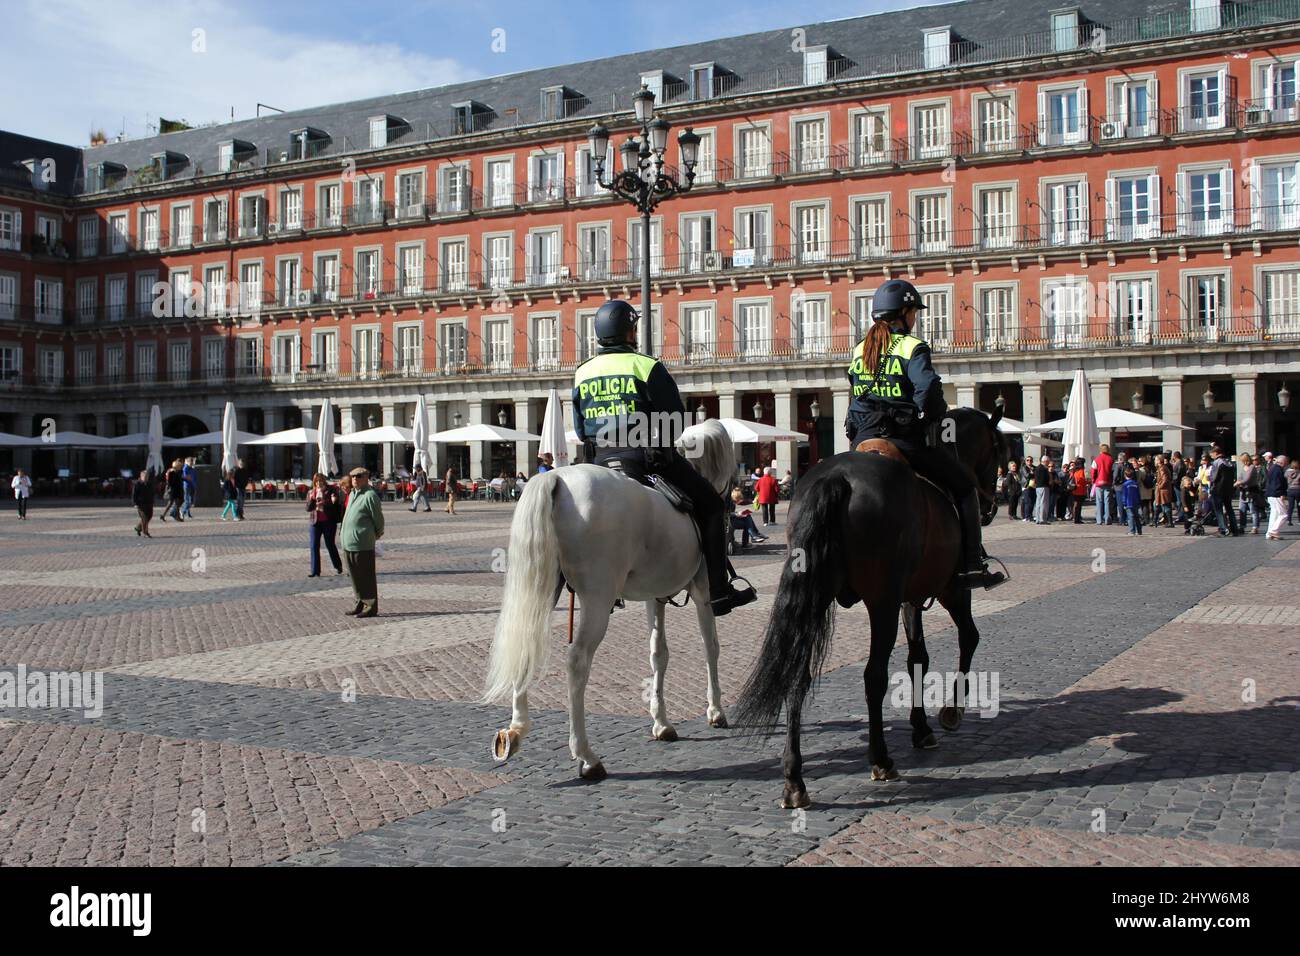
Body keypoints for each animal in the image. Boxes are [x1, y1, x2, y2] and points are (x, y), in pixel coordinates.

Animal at [483, 418, 737, 780]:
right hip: (597, 600)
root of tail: (556, 478)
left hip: (543, 589)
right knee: (577, 662)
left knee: (525, 643)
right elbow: (710, 647)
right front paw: (715, 710)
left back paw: (516, 731)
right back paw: (586, 756)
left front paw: (662, 723)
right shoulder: (703, 591)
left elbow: (658, 654)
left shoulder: (655, 596)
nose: (729, 500)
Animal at [734, 406, 1006, 809]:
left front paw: (921, 727)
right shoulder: (948, 589)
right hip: (883, 601)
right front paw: (950, 712)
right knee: (873, 676)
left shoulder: (911, 596)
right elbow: (967, 639)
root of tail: (838, 478)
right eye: (999, 450)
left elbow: (918, 659)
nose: (991, 505)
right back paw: (881, 760)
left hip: (818, 593)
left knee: (798, 675)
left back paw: (794, 780)